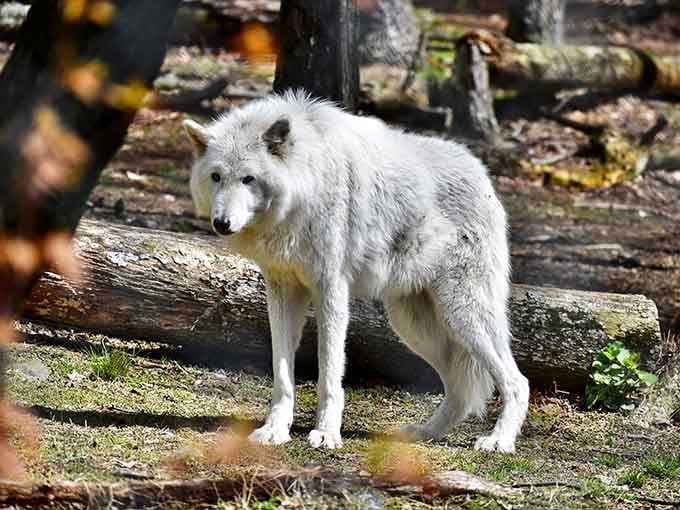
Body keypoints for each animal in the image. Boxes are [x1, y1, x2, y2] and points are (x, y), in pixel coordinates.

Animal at [184, 90, 529, 452]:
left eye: (248, 178)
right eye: (216, 177)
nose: (221, 223)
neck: (308, 179)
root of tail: (481, 172)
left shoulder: (331, 290)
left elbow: (329, 373)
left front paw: (326, 433)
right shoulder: (282, 290)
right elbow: (282, 374)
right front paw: (275, 430)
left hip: (462, 313)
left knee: (517, 381)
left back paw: (499, 440)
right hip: (415, 326)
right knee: (461, 390)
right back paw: (424, 433)